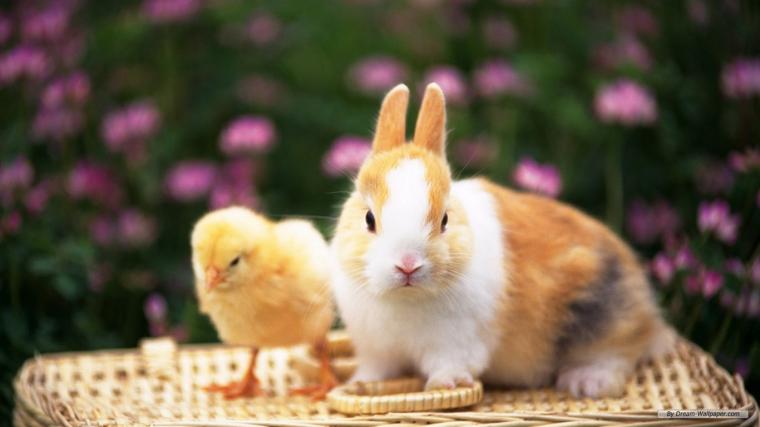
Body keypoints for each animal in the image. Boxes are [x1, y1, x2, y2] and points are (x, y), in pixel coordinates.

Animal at [330, 82, 673, 398]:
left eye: (444, 220)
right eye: (369, 219)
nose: (408, 265)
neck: (405, 298)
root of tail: (646, 301)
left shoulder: (455, 343)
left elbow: (449, 364)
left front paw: (448, 384)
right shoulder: (377, 350)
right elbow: (377, 370)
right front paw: (359, 383)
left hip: (601, 314)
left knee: (622, 348)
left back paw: (586, 382)